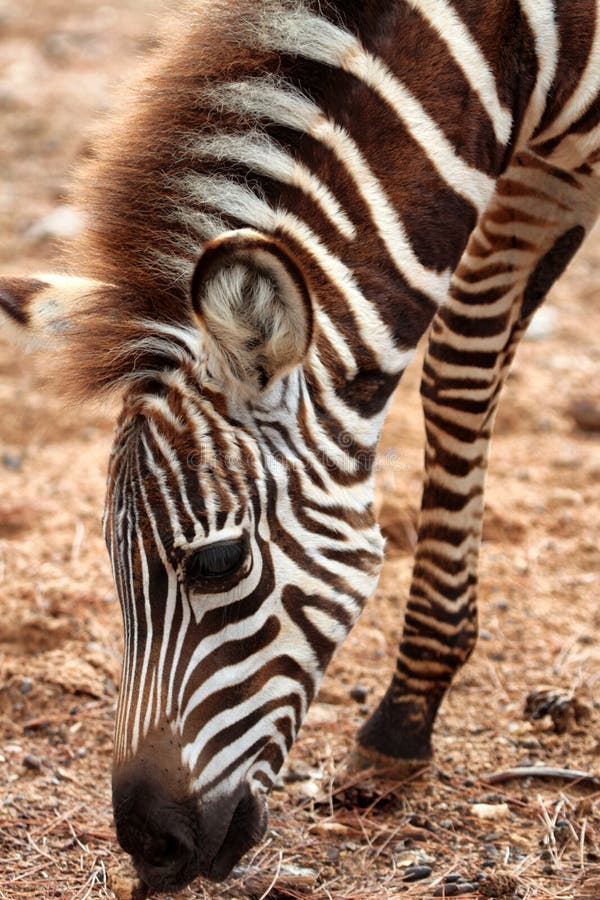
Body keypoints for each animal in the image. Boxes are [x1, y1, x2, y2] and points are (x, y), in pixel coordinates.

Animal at [1, 0, 599, 892]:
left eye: (219, 563)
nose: (151, 847)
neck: (532, 51)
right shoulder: (537, 172)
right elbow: (462, 362)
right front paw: (403, 723)